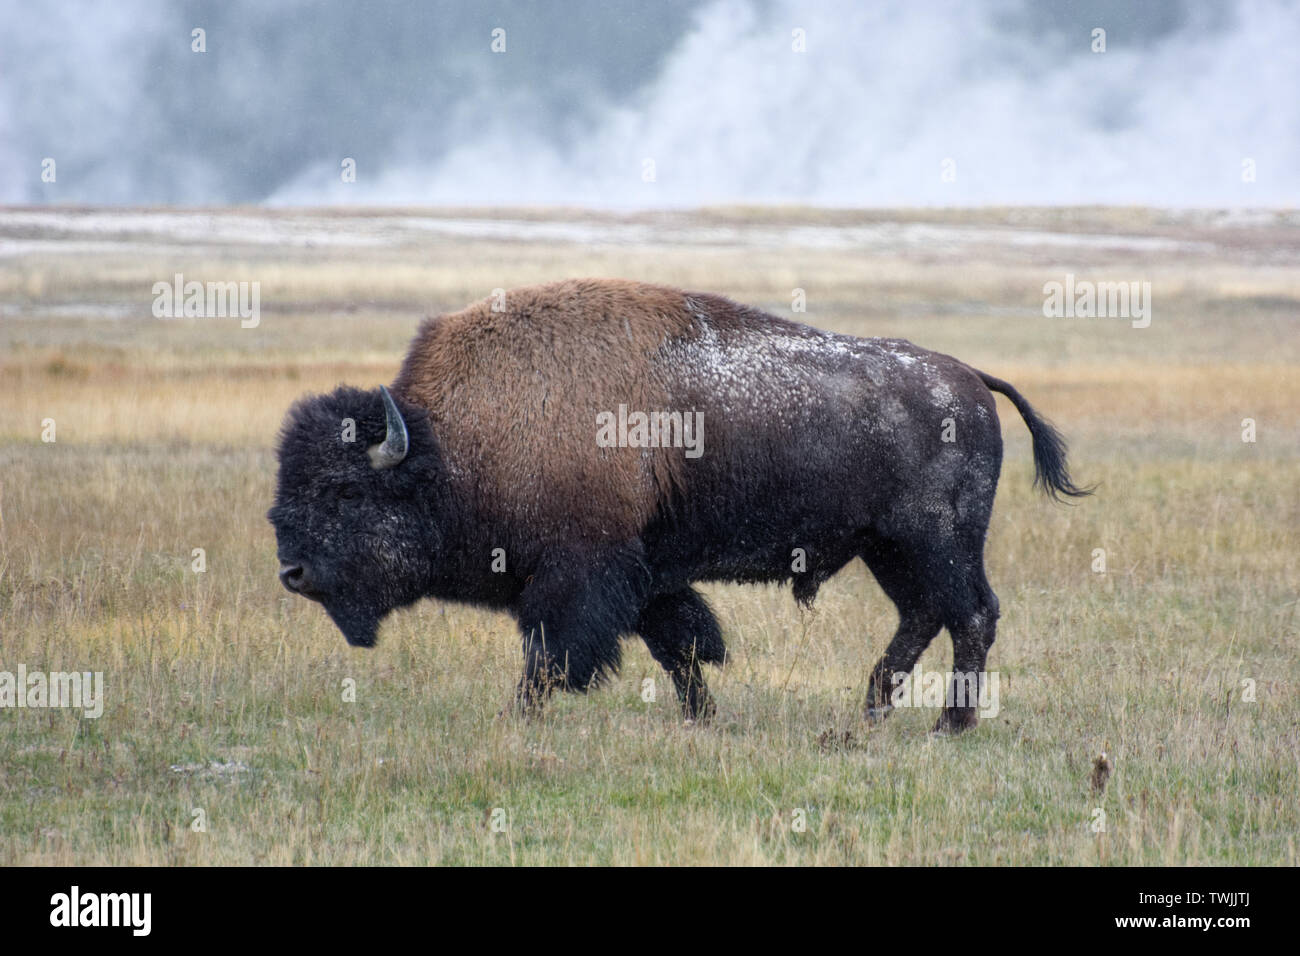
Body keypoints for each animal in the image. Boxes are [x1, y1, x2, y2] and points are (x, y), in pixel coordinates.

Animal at [269, 279, 1088, 732]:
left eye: (346, 490)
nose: (293, 573)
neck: (450, 444)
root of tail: (972, 379)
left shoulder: (580, 576)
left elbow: (552, 658)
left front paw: (518, 718)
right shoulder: (649, 577)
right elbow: (682, 648)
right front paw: (706, 720)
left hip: (936, 541)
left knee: (970, 614)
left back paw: (950, 725)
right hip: (887, 549)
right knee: (923, 616)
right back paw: (870, 712)